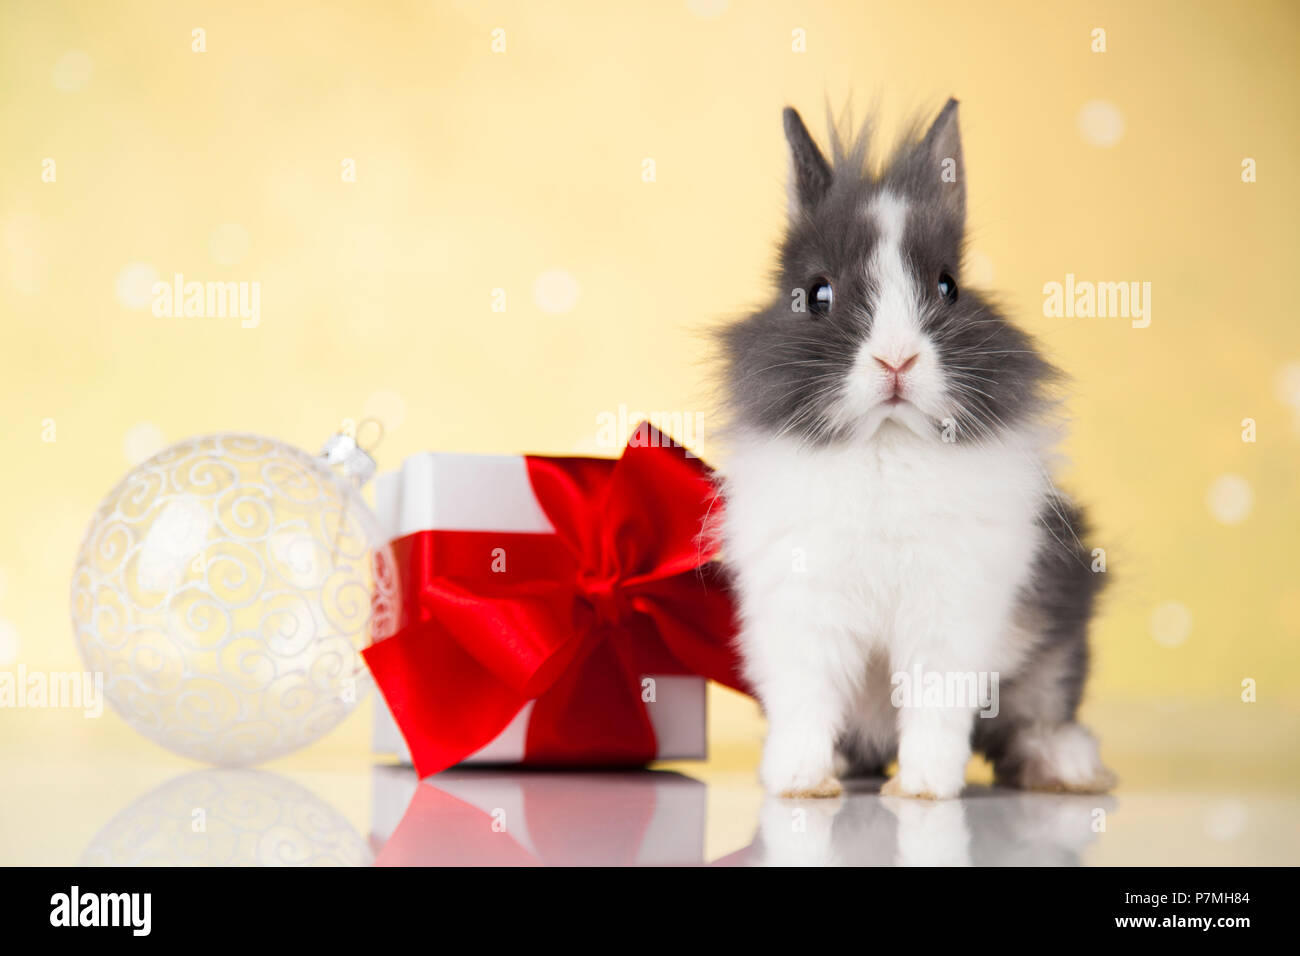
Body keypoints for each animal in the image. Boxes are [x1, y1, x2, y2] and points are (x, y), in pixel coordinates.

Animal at [715, 99, 1116, 800]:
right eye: (817, 294)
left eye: (949, 286)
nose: (896, 359)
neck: (885, 440)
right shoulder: (803, 609)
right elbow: (807, 700)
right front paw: (799, 782)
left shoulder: (951, 612)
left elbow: (935, 700)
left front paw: (926, 788)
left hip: (1058, 642)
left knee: (1037, 714)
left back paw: (1066, 767)